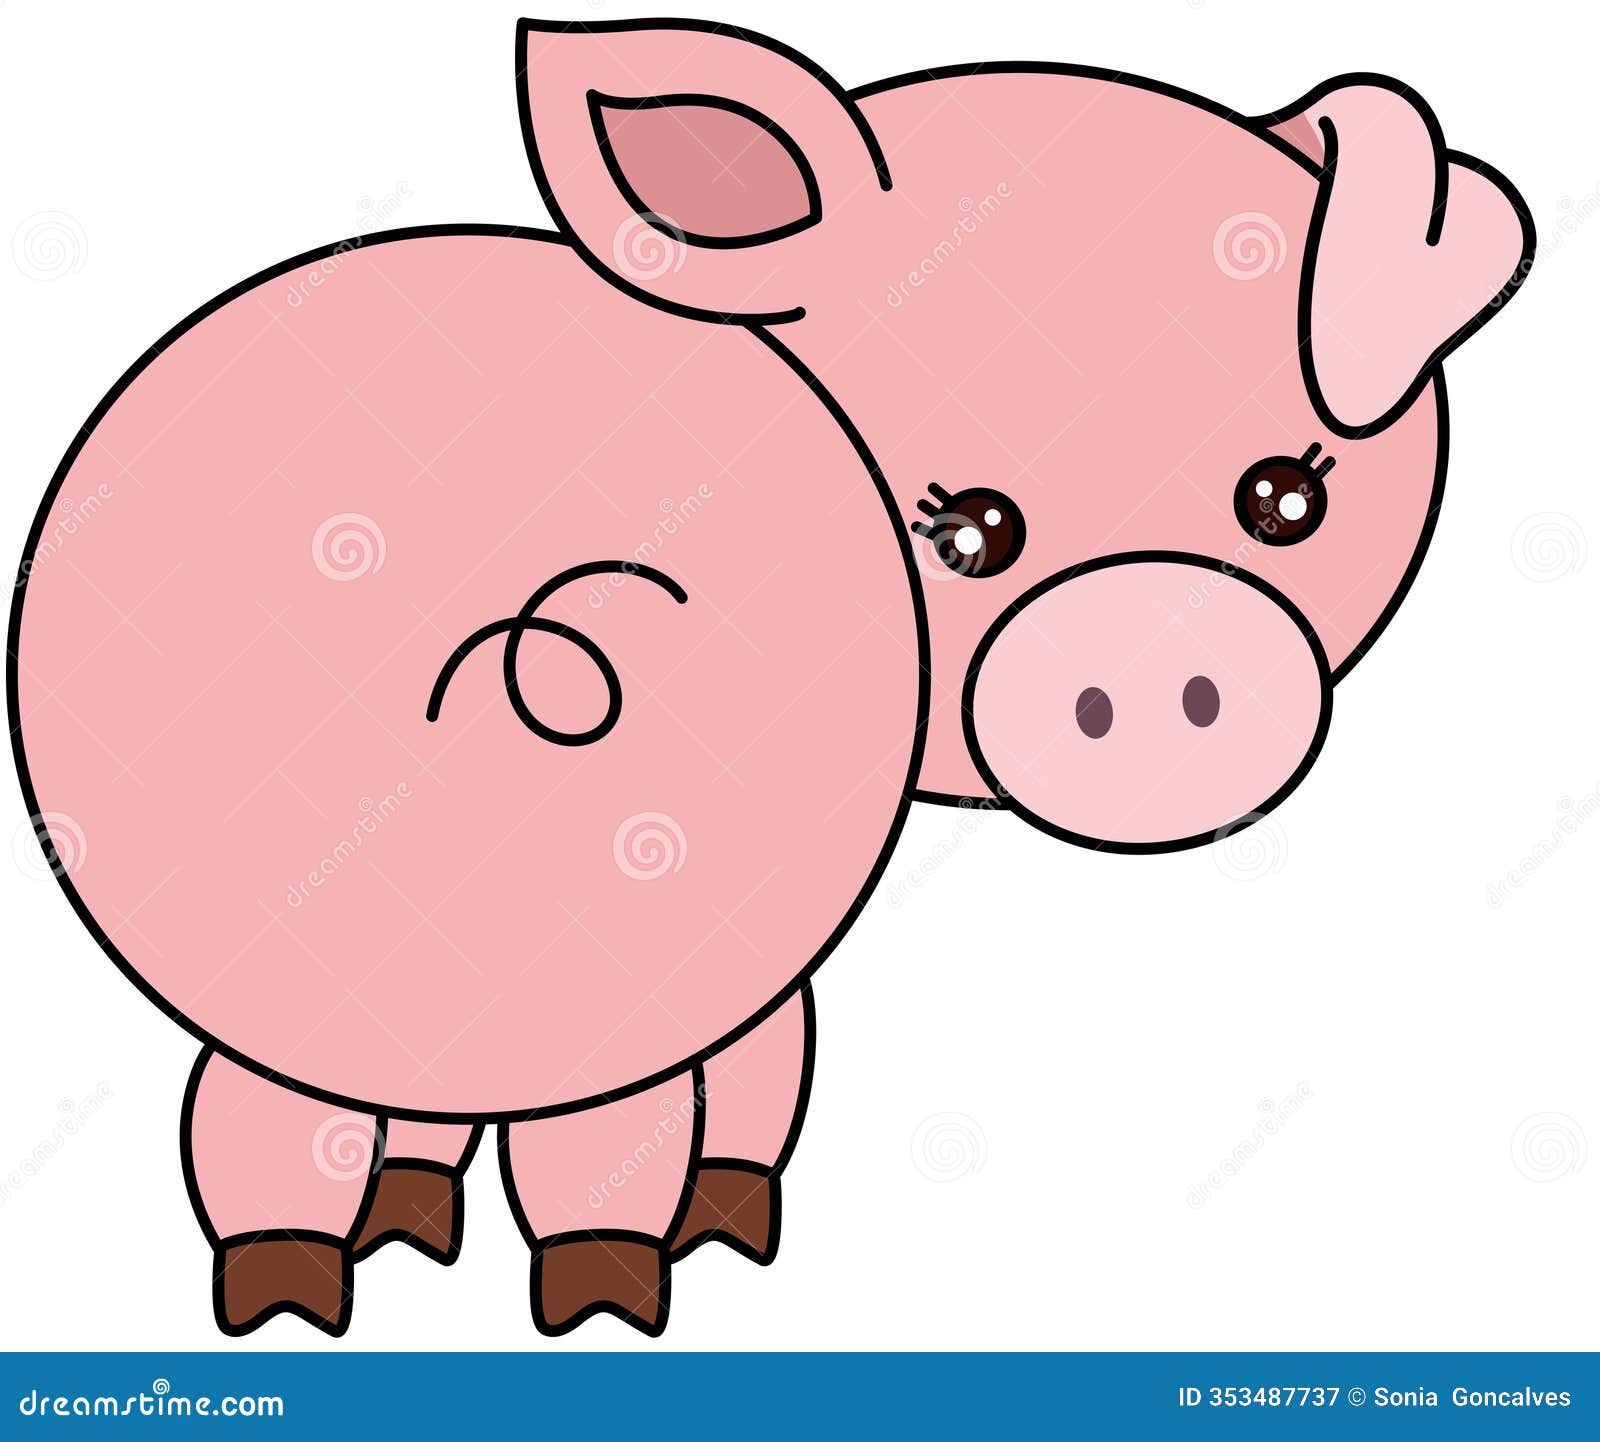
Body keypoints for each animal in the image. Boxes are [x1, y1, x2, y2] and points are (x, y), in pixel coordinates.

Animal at [8, 17, 1531, 1338]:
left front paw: (682, 1250)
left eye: (1285, 500)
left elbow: (716, 1088)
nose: (1161, 643)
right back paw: (316, 1288)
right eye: (968, 529)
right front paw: (596, 1302)